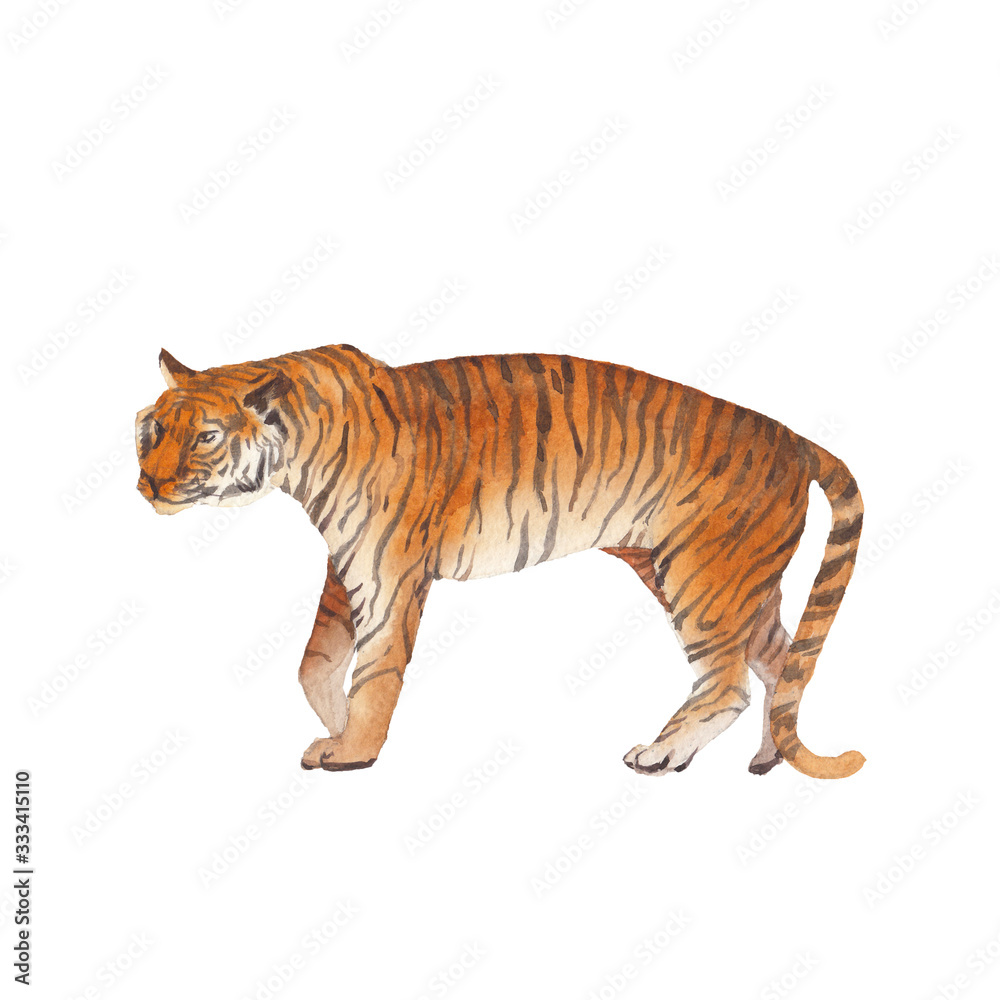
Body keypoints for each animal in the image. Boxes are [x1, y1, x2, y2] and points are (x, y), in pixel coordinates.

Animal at [135, 344, 865, 779]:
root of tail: (794, 439)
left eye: (205, 437)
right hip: (734, 581)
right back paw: (769, 757)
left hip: (702, 578)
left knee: (727, 683)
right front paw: (334, 734)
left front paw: (355, 750)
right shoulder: (346, 571)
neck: (300, 454)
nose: (148, 485)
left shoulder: (389, 573)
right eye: (152, 429)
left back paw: (662, 752)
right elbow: (315, 665)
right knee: (780, 667)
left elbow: (374, 672)